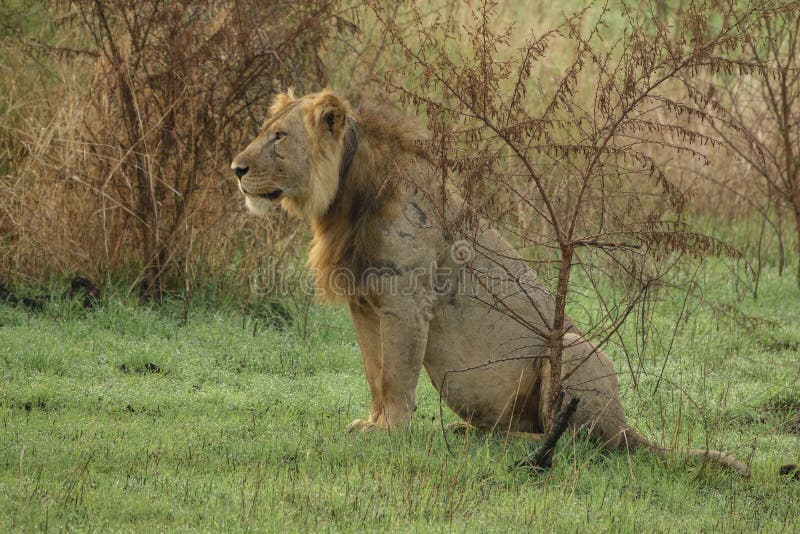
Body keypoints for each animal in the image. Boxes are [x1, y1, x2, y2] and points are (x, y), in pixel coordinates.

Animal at [231, 88, 752, 476]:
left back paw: (495, 439)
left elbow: (396, 375)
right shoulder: (364, 302)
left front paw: (390, 432)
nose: (236, 169)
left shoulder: (406, 299)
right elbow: (375, 373)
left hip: (571, 347)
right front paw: (372, 422)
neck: (344, 195)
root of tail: (626, 424)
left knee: (574, 441)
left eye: (279, 137)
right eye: (262, 132)